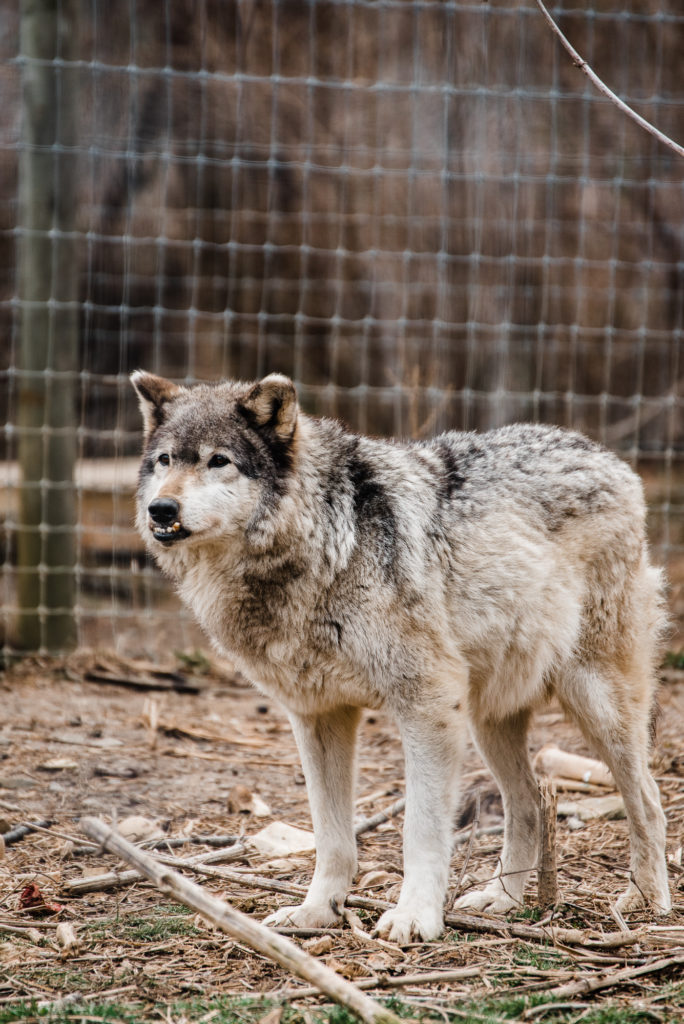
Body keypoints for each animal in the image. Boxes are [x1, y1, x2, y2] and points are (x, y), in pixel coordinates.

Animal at [131, 370, 671, 943]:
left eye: (219, 461)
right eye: (165, 460)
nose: (161, 509)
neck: (328, 541)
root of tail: (609, 458)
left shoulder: (427, 705)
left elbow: (421, 830)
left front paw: (415, 918)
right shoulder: (318, 716)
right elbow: (331, 836)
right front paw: (317, 911)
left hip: (596, 705)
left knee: (649, 802)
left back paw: (646, 902)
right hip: (488, 720)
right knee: (527, 804)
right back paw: (501, 900)